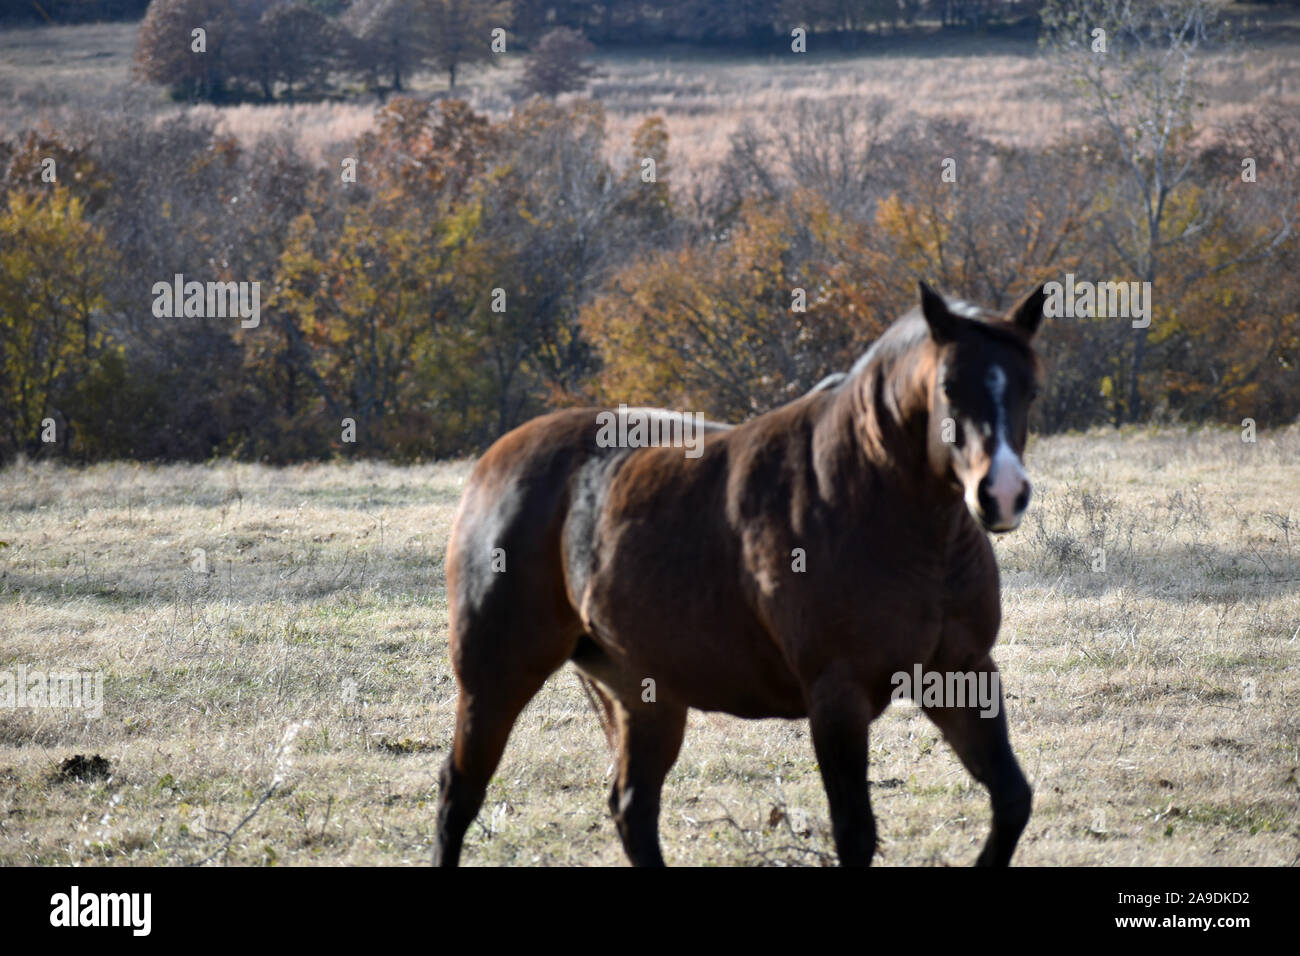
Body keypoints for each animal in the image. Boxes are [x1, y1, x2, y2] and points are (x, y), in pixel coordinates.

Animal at [434, 281, 1046, 866]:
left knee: (633, 808)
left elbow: (1013, 799)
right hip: (495, 679)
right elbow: (855, 832)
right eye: (948, 387)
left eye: (1030, 389)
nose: (1001, 494)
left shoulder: (960, 673)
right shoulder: (837, 697)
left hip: (644, 695)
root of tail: (495, 463)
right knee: (458, 795)